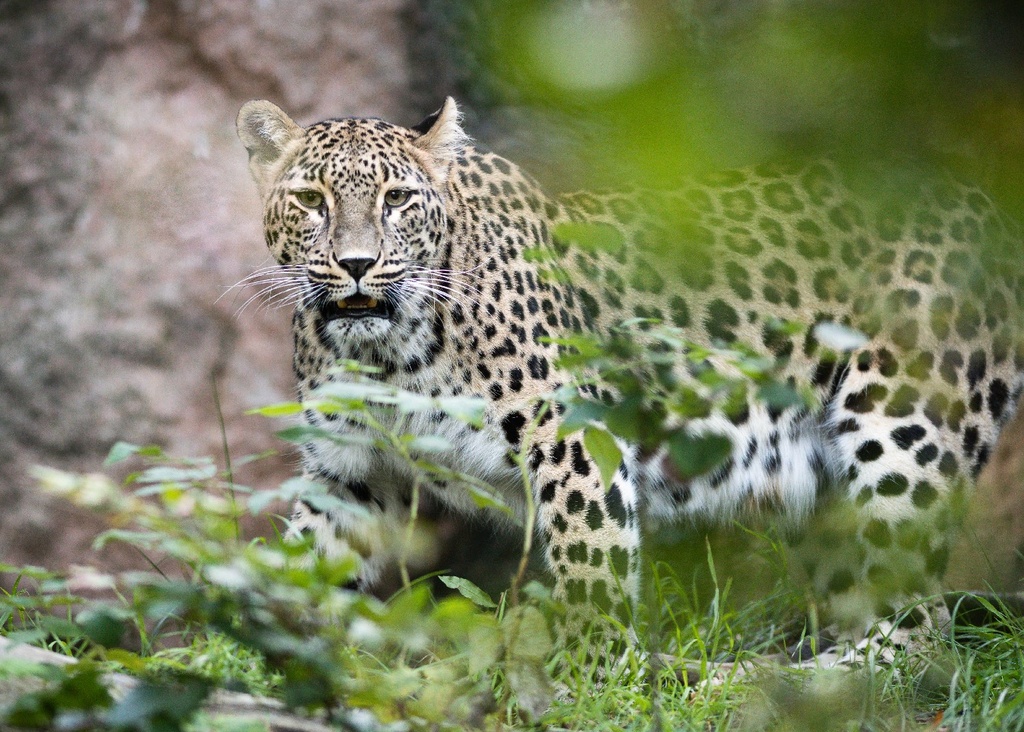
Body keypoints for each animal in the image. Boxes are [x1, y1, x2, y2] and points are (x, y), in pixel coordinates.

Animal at [236, 97, 1024, 654]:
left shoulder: (572, 436)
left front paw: (590, 676)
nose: (357, 264)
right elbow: (300, 562)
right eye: (311, 200)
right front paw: (260, 646)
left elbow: (594, 567)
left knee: (919, 629)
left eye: (397, 199)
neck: (387, 354)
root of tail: (986, 205)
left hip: (901, 428)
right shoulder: (349, 469)